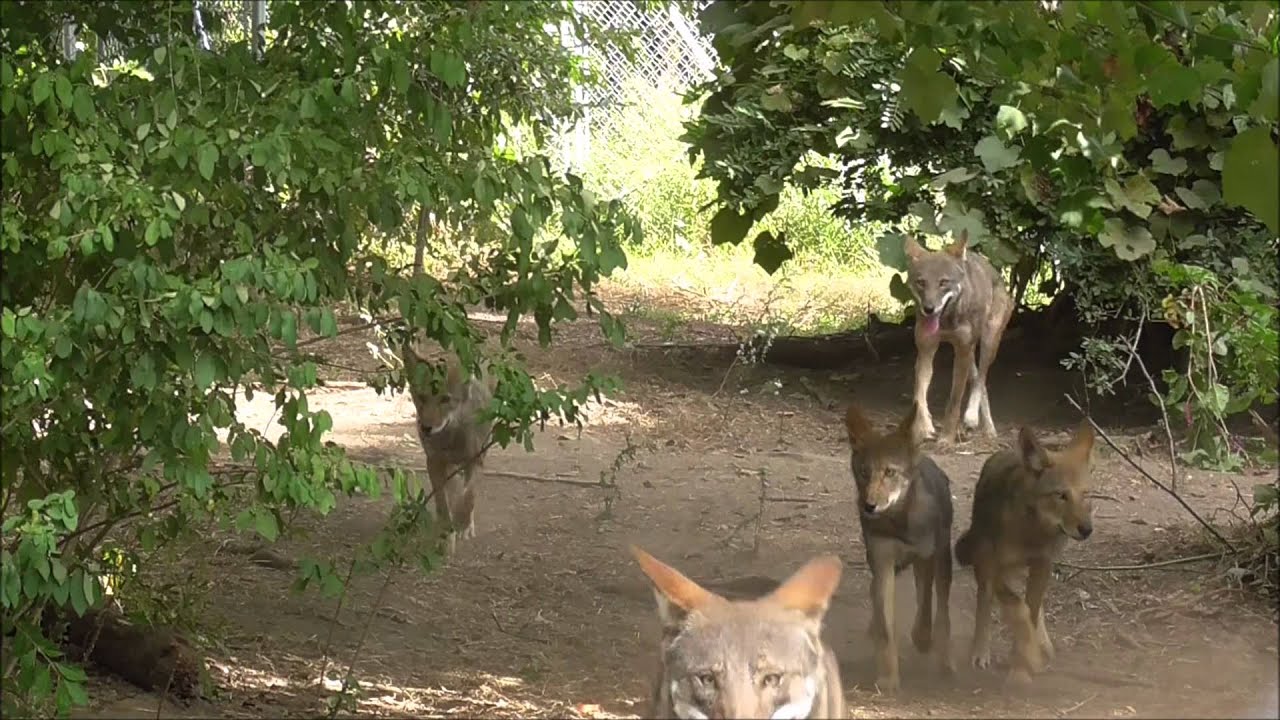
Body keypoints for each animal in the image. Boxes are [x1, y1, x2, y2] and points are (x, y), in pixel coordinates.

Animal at [403, 344, 497, 553]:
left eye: (445, 399)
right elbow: (443, 503)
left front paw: (463, 525)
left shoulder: (476, 460)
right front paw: (446, 535)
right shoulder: (434, 463)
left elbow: (469, 496)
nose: (426, 427)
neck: (450, 437)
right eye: (421, 397)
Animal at [844, 402, 955, 693]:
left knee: (942, 612)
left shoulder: (926, 558)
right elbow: (886, 627)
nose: (869, 506)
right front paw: (888, 678)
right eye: (864, 472)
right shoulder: (883, 564)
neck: (900, 523)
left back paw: (944, 661)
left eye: (889, 472)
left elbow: (926, 607)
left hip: (942, 563)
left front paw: (923, 638)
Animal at [903, 230, 1014, 446]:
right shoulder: (926, 351)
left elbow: (954, 401)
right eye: (921, 282)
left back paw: (973, 419)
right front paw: (925, 427)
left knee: (981, 378)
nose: (929, 309)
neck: (946, 321)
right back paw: (985, 428)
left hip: (987, 344)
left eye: (943, 283)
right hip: (969, 353)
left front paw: (947, 438)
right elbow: (919, 396)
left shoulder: (962, 351)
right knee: (979, 381)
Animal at [954, 422, 1096, 685]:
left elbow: (1029, 612)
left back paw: (1044, 644)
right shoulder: (993, 566)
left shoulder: (1043, 565)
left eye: (1086, 494)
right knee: (984, 605)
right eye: (1061, 495)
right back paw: (980, 652)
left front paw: (1022, 665)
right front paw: (1028, 658)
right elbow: (1019, 611)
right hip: (986, 568)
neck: (1031, 532)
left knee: (1034, 609)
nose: (1086, 529)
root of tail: (1007, 451)